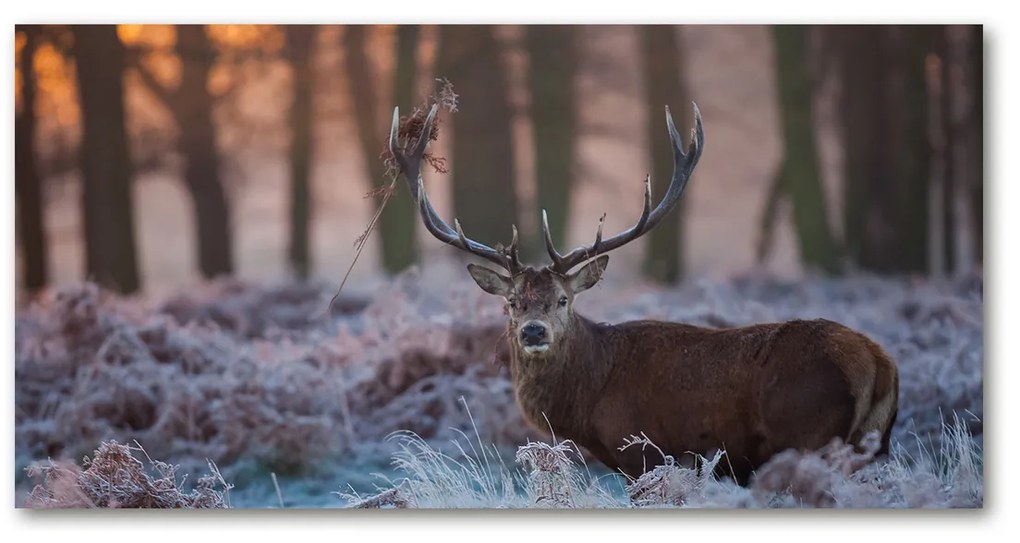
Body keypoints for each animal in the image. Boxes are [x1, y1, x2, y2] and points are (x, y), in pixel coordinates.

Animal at [385, 102, 897, 483]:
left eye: (563, 300)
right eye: (512, 302)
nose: (533, 332)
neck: (589, 401)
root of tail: (880, 363)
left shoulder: (645, 453)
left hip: (809, 432)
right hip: (872, 445)